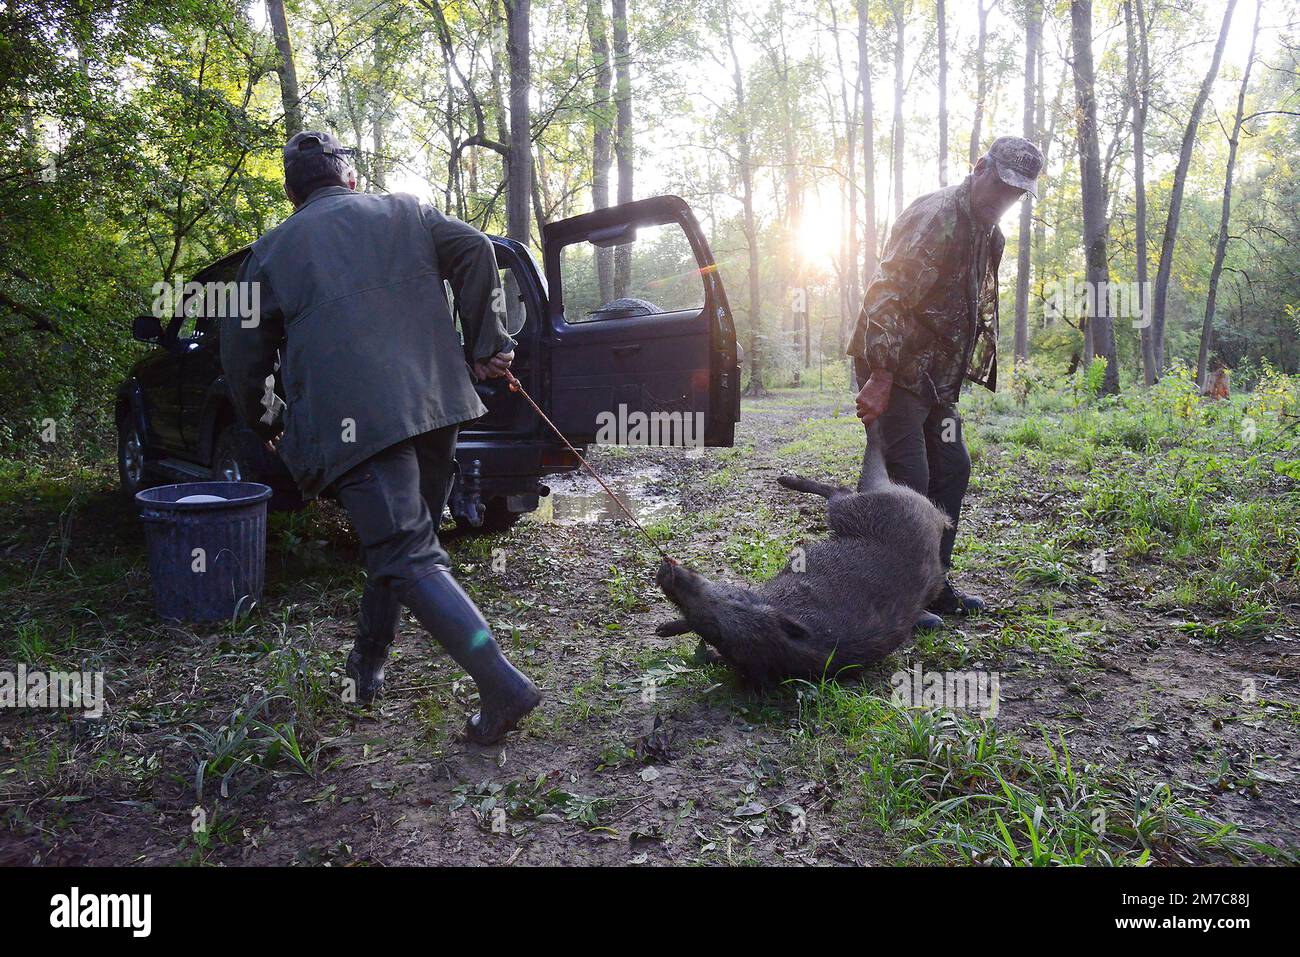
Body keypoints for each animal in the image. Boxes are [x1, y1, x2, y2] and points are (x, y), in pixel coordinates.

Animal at [655, 420, 950, 687]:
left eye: (733, 599)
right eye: (707, 627)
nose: (665, 570)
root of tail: (934, 513)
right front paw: (663, 630)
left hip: (848, 509)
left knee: (840, 488)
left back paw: (785, 478)